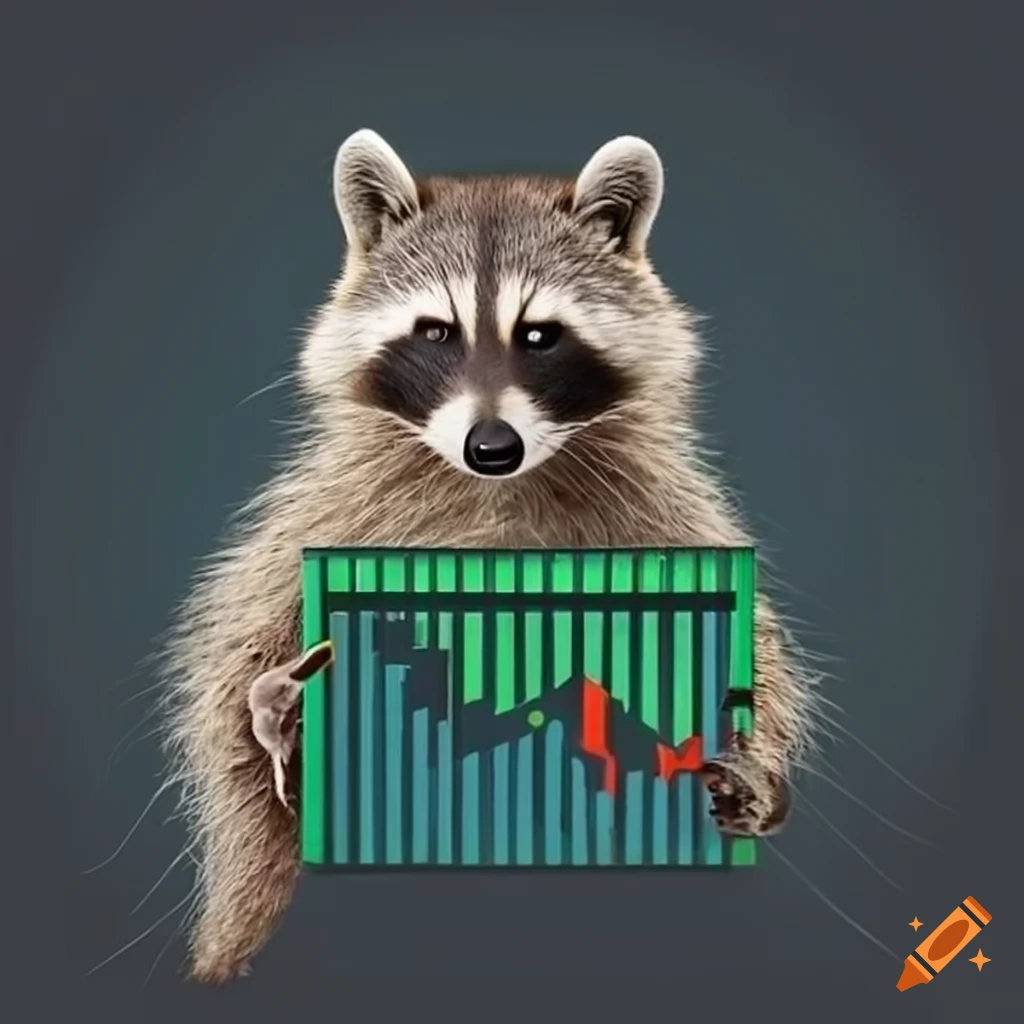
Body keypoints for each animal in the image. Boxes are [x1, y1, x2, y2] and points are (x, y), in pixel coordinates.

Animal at [161, 129, 817, 983]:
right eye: (435, 332)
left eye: (540, 335)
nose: (492, 447)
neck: (496, 490)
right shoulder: (332, 514)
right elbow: (236, 672)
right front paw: (275, 709)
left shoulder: (657, 510)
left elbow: (759, 649)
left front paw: (758, 753)